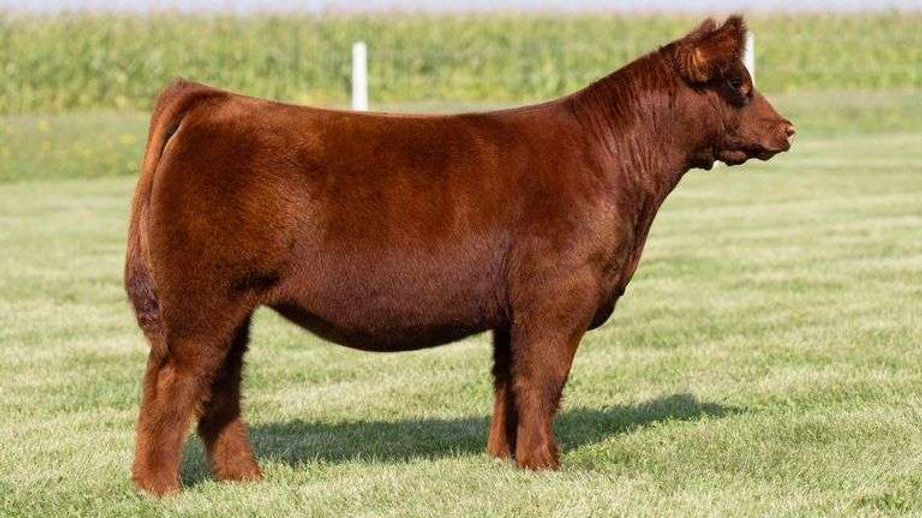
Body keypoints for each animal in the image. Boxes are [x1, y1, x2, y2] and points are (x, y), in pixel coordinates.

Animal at [125, 15, 794, 495]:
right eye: (738, 87)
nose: (787, 129)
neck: (618, 168)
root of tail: (213, 98)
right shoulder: (560, 294)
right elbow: (544, 377)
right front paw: (545, 465)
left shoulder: (513, 308)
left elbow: (509, 382)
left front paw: (504, 459)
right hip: (205, 298)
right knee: (175, 380)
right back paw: (160, 489)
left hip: (233, 304)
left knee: (219, 386)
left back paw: (245, 479)